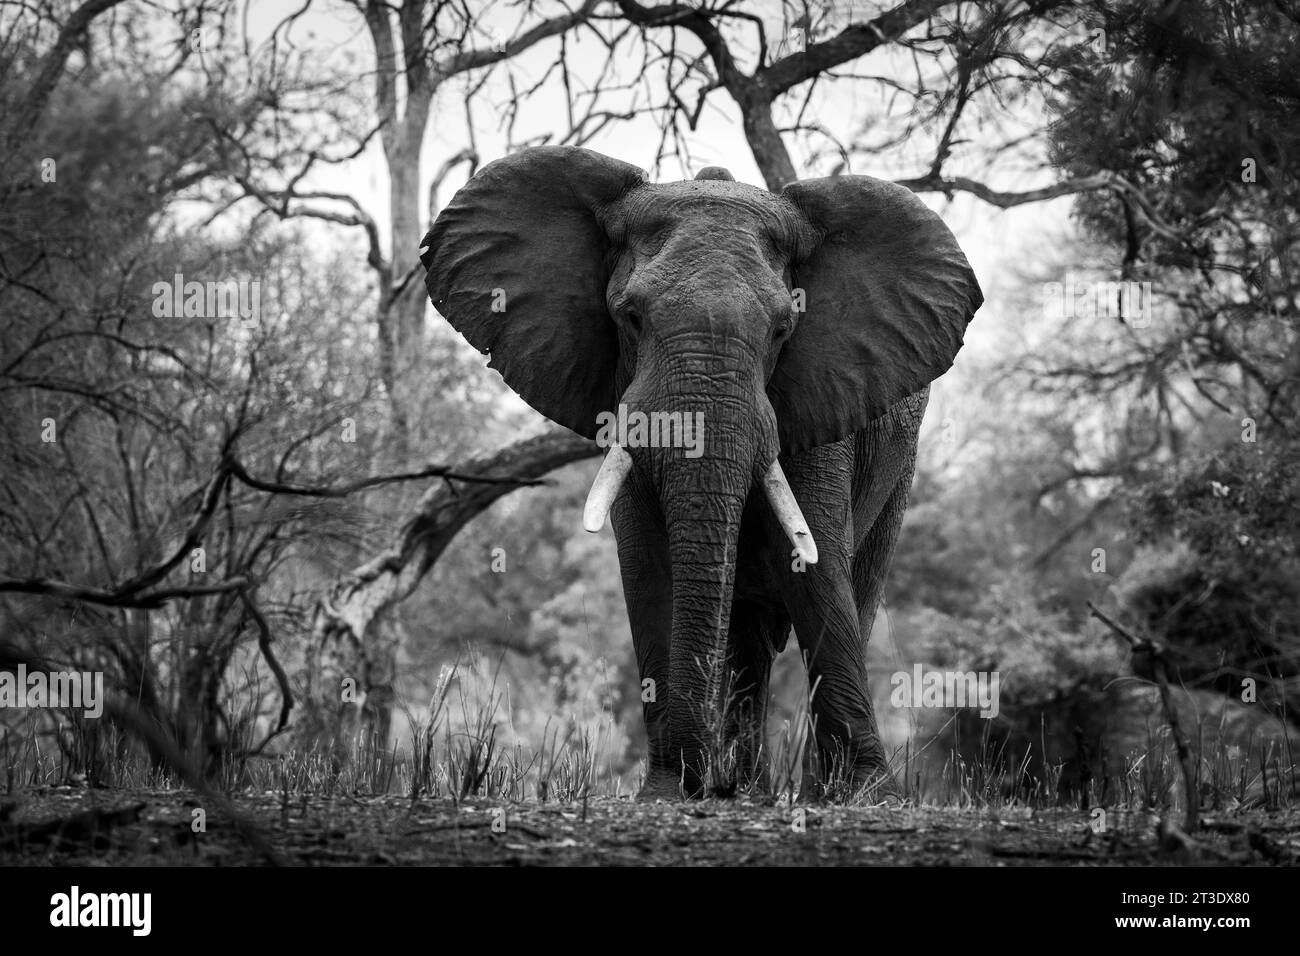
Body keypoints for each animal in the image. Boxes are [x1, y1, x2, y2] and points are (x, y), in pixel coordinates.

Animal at [419, 146, 982, 799]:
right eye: (630, 318)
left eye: (783, 330)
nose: (697, 779)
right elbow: (649, 567)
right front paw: (665, 791)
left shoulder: (821, 403)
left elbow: (814, 567)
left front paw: (870, 799)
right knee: (748, 637)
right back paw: (747, 791)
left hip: (899, 473)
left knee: (849, 595)